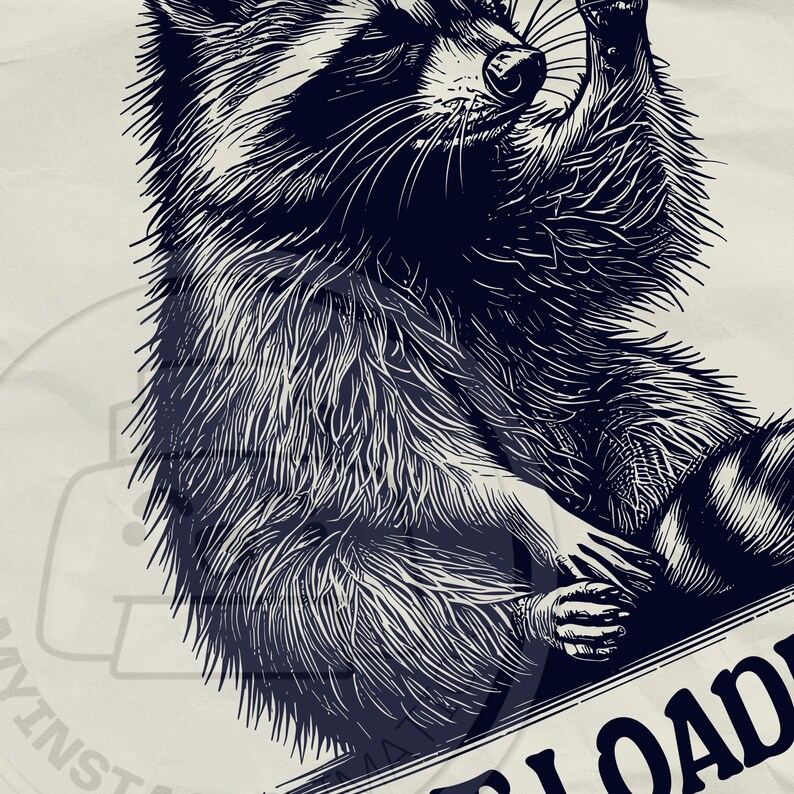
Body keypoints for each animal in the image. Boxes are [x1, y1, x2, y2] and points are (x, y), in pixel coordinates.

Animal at [129, 0, 793, 761]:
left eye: (490, 6)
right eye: (385, 35)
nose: (521, 66)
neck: (395, 190)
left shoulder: (491, 216)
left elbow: (601, 208)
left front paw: (616, 41)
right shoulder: (275, 315)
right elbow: (387, 452)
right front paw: (530, 511)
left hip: (588, 393)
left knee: (660, 413)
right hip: (264, 592)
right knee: (356, 610)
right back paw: (524, 626)